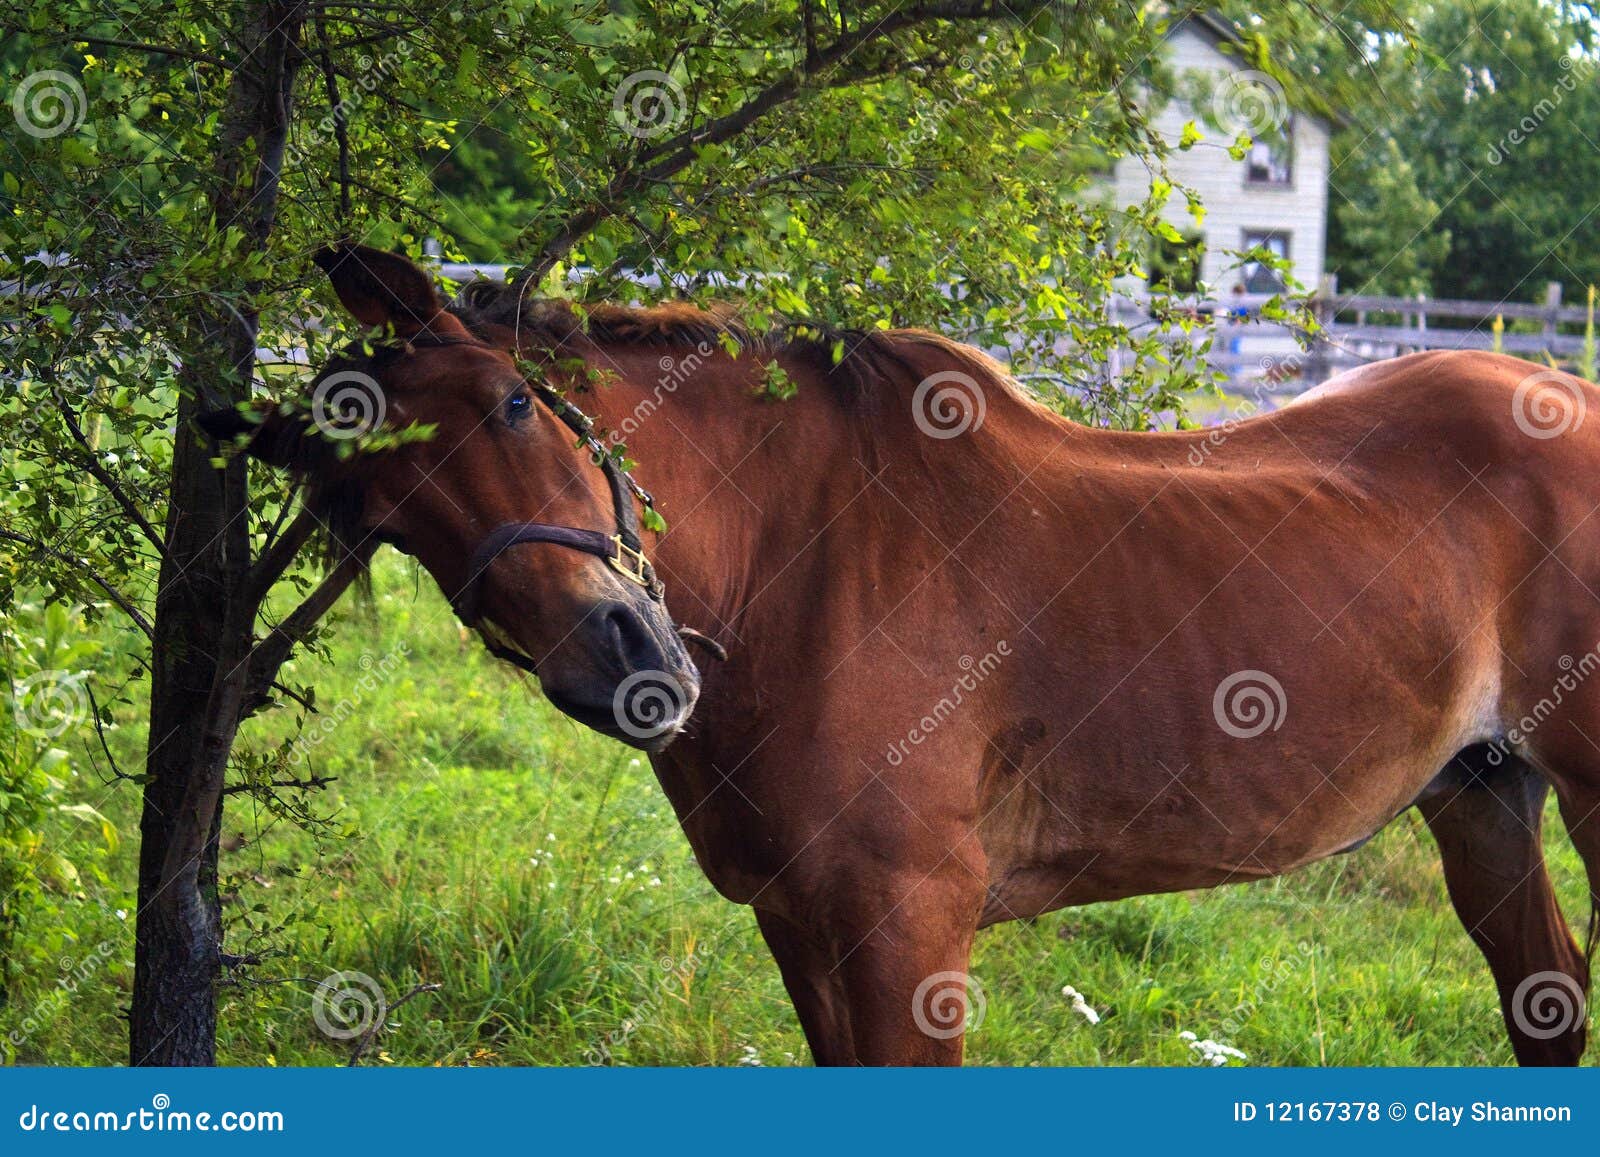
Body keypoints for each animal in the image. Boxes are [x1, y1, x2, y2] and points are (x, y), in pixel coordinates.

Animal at [209, 244, 1600, 1065]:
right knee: (1546, 1005)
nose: (623, 660)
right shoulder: (801, 922)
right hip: (1479, 795)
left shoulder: (910, 928)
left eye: (512, 405)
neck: (795, 562)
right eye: (384, 519)